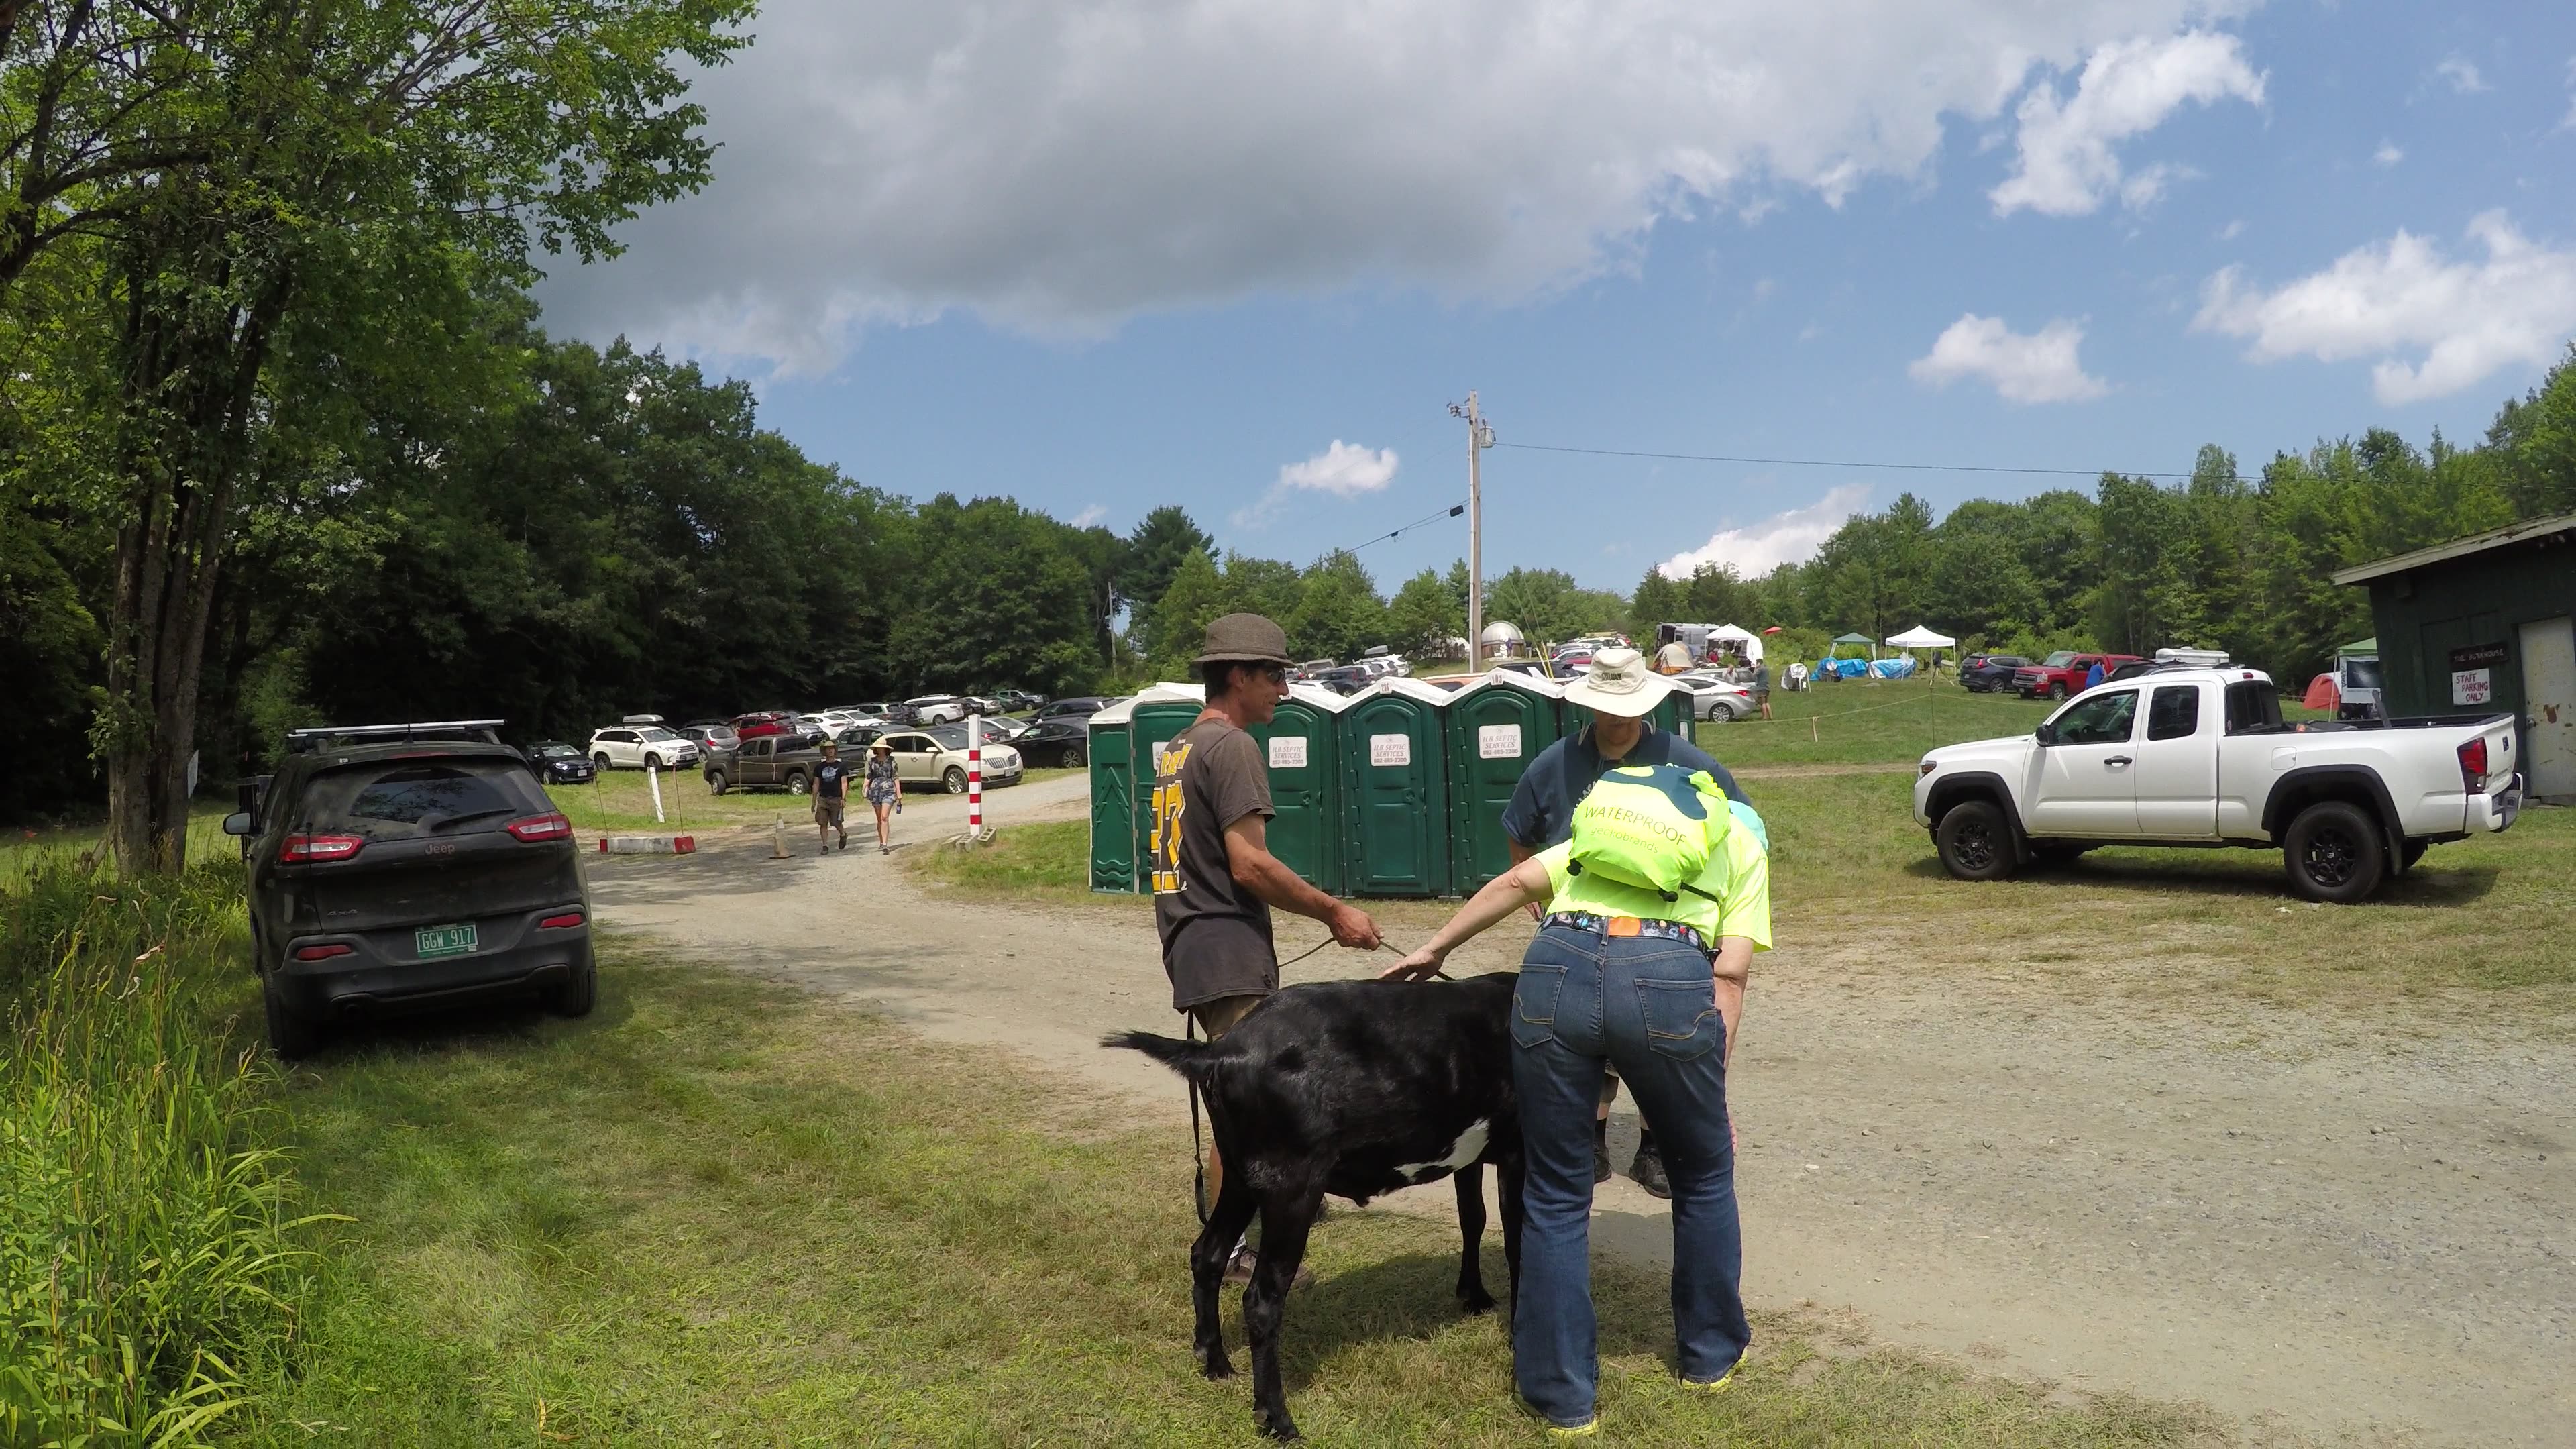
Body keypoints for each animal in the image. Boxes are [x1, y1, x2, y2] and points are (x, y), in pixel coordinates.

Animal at [1105, 972, 1525, 1441]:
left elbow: (1474, 1219)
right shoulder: (1519, 1154)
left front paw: (1474, 1296)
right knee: (1262, 1300)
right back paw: (1277, 1419)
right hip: (1292, 1188)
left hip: (1240, 1176)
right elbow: (1518, 1244)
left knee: (1207, 1254)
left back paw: (1215, 1362)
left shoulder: (1469, 1153)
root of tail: (1222, 1050)